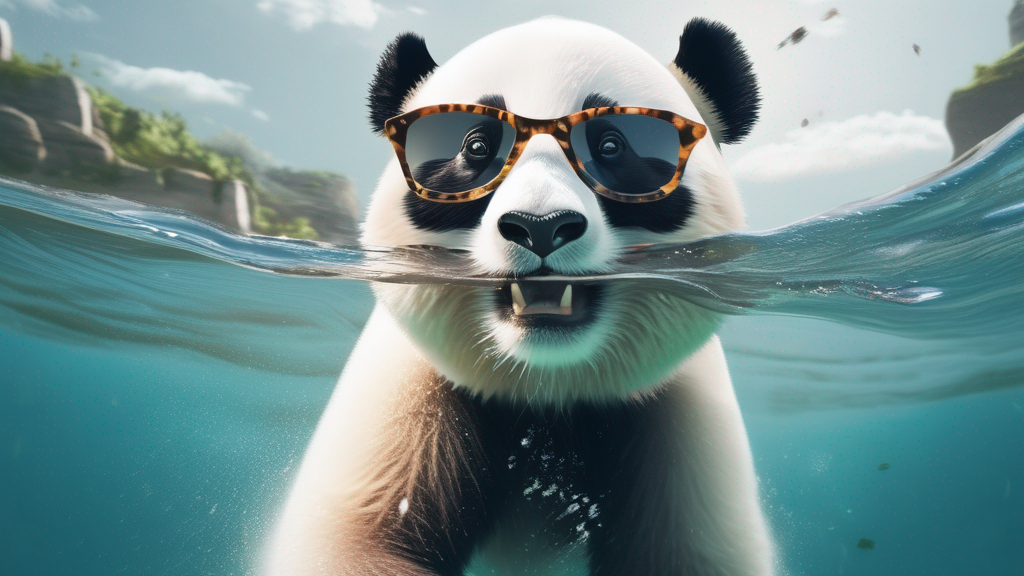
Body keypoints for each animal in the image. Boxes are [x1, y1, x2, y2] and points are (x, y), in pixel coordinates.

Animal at [265, 16, 774, 576]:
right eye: (477, 146)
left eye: (612, 146)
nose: (540, 226)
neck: (547, 385)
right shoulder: (412, 394)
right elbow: (355, 541)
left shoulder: (680, 411)